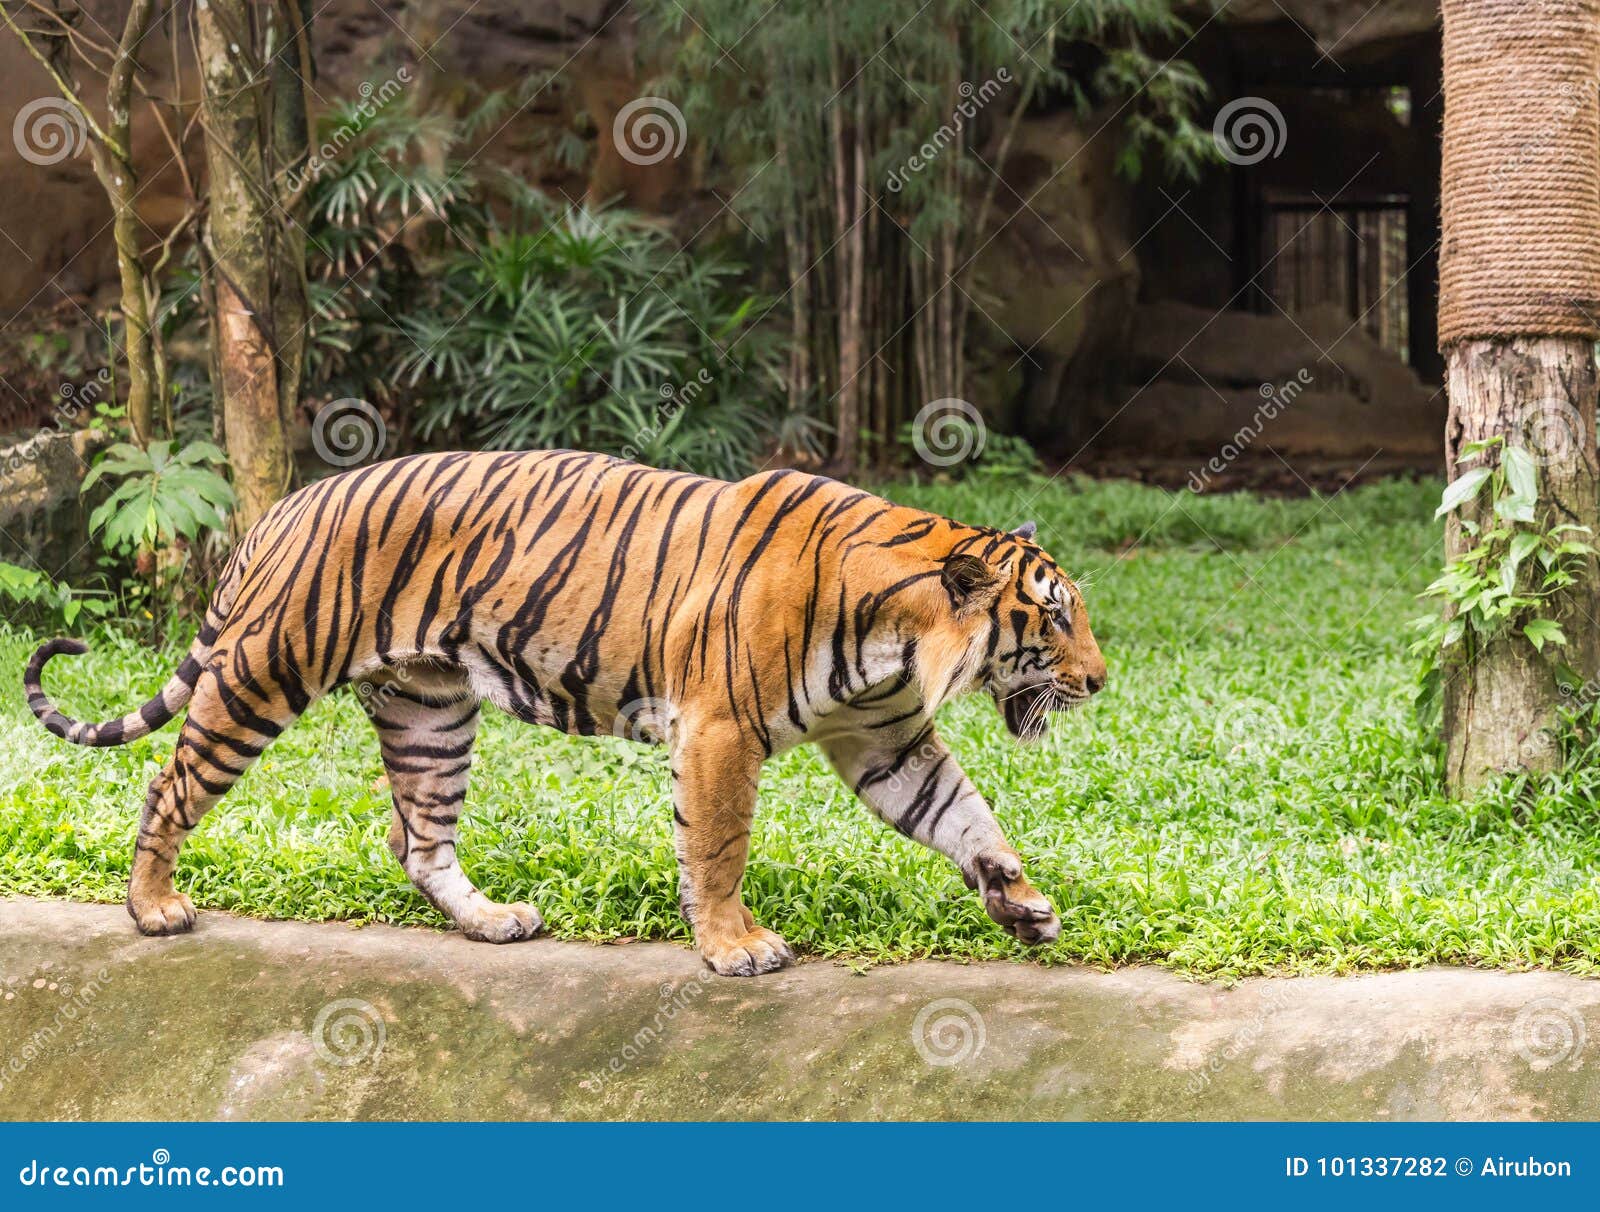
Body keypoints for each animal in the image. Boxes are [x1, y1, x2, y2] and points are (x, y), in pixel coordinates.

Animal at [25, 450, 1106, 976]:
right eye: (1054, 617)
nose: (1099, 681)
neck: (898, 635)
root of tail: (286, 505)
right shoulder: (721, 730)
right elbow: (719, 847)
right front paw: (735, 948)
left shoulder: (884, 737)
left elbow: (962, 815)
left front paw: (1020, 901)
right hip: (263, 672)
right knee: (169, 784)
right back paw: (153, 909)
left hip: (430, 710)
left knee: (414, 839)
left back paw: (492, 923)